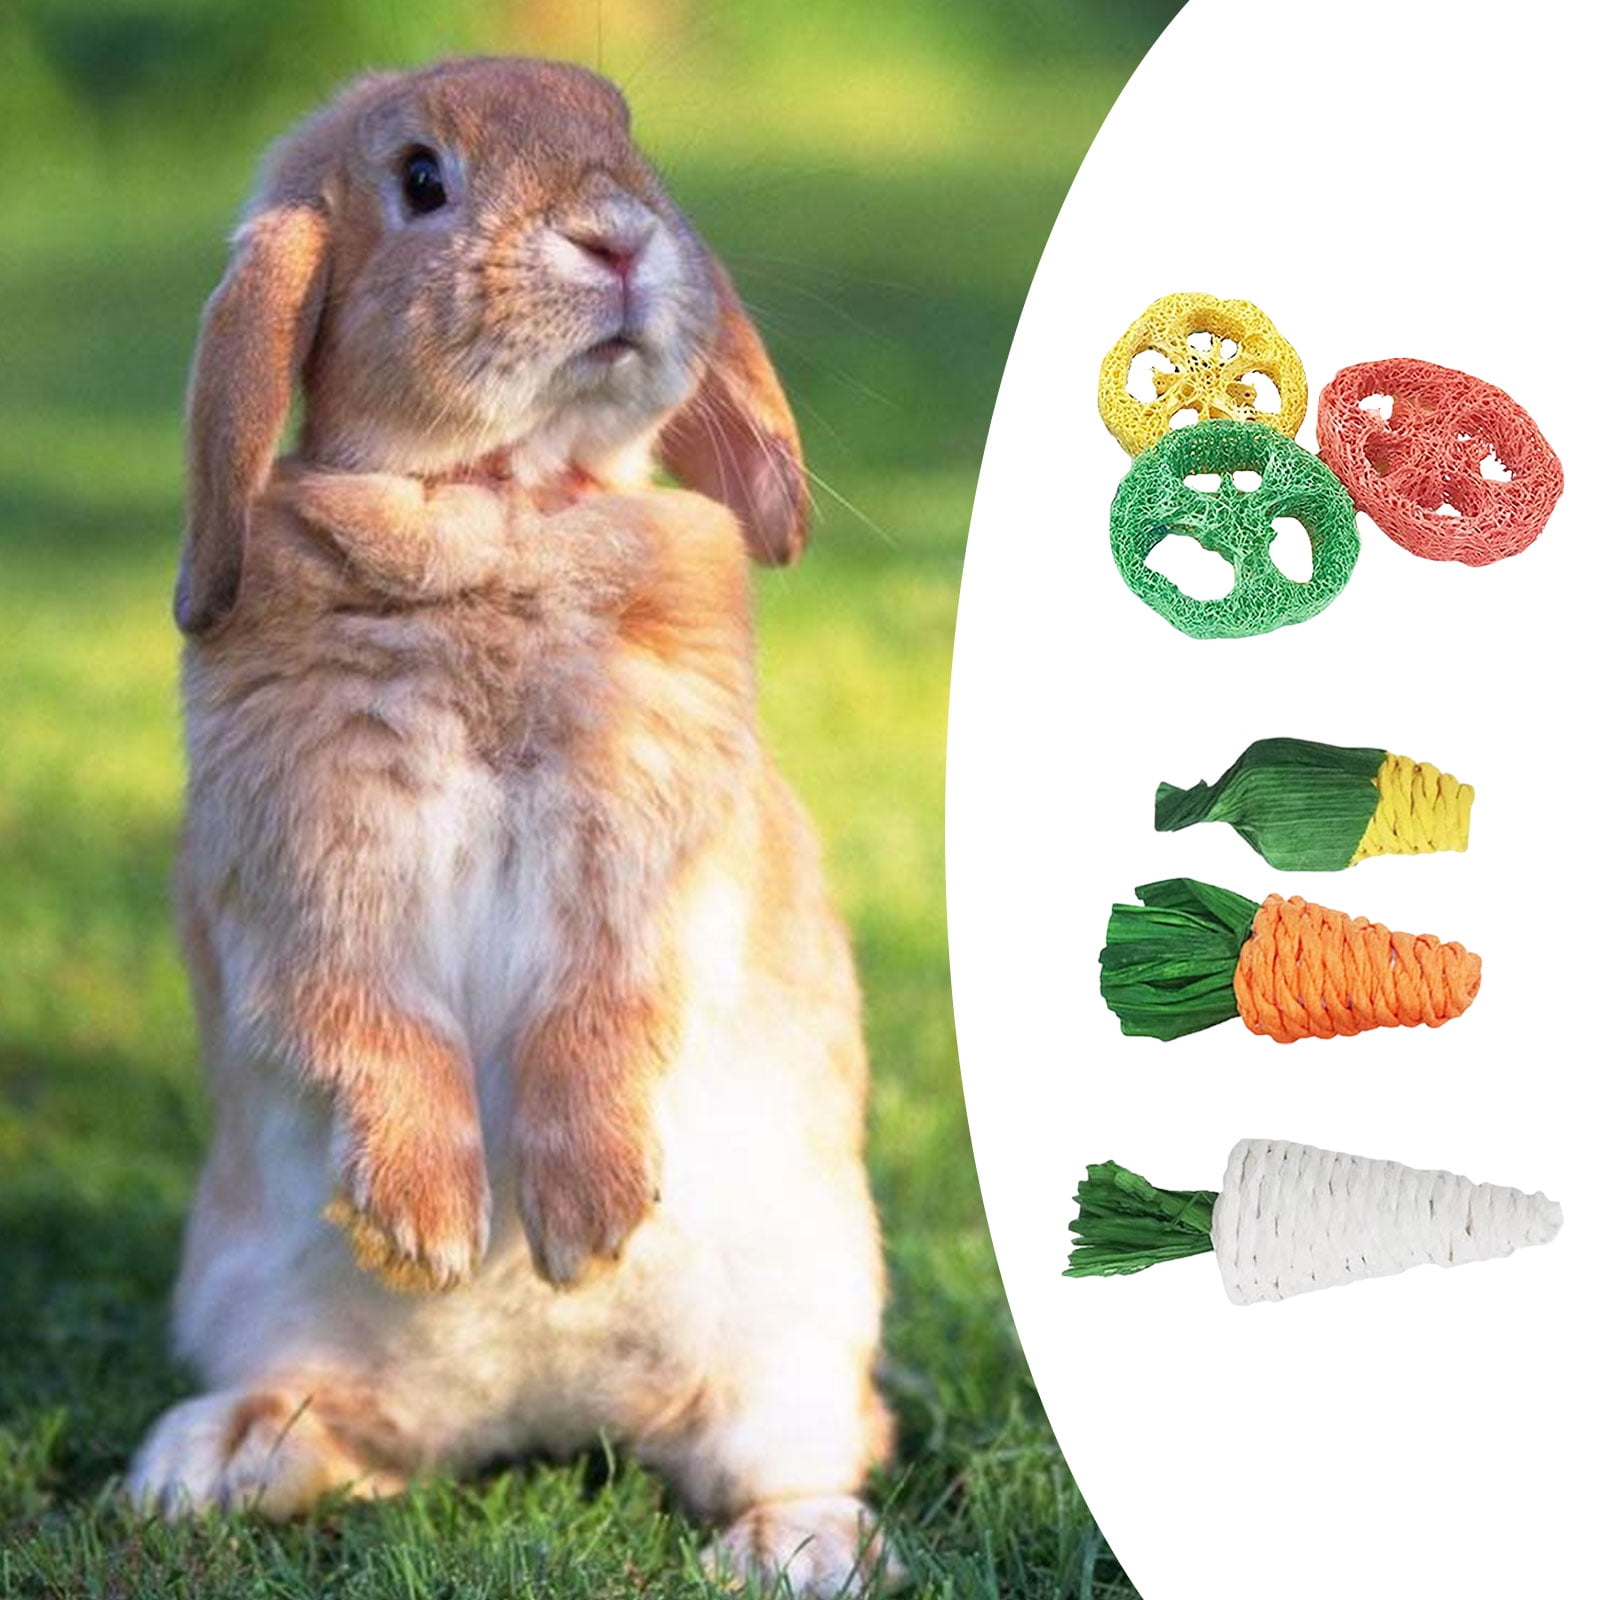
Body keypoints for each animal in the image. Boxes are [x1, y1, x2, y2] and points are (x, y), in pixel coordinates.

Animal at [126, 57, 896, 1596]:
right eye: (422, 179)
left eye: (628, 142)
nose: (619, 237)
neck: (497, 505)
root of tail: (539, 1417)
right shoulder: (309, 872)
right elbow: (372, 1022)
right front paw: (430, 1229)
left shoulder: (651, 864)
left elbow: (599, 1016)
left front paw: (587, 1225)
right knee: (353, 1436)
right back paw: (210, 1461)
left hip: (795, 1337)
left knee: (800, 1448)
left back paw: (793, 1547)